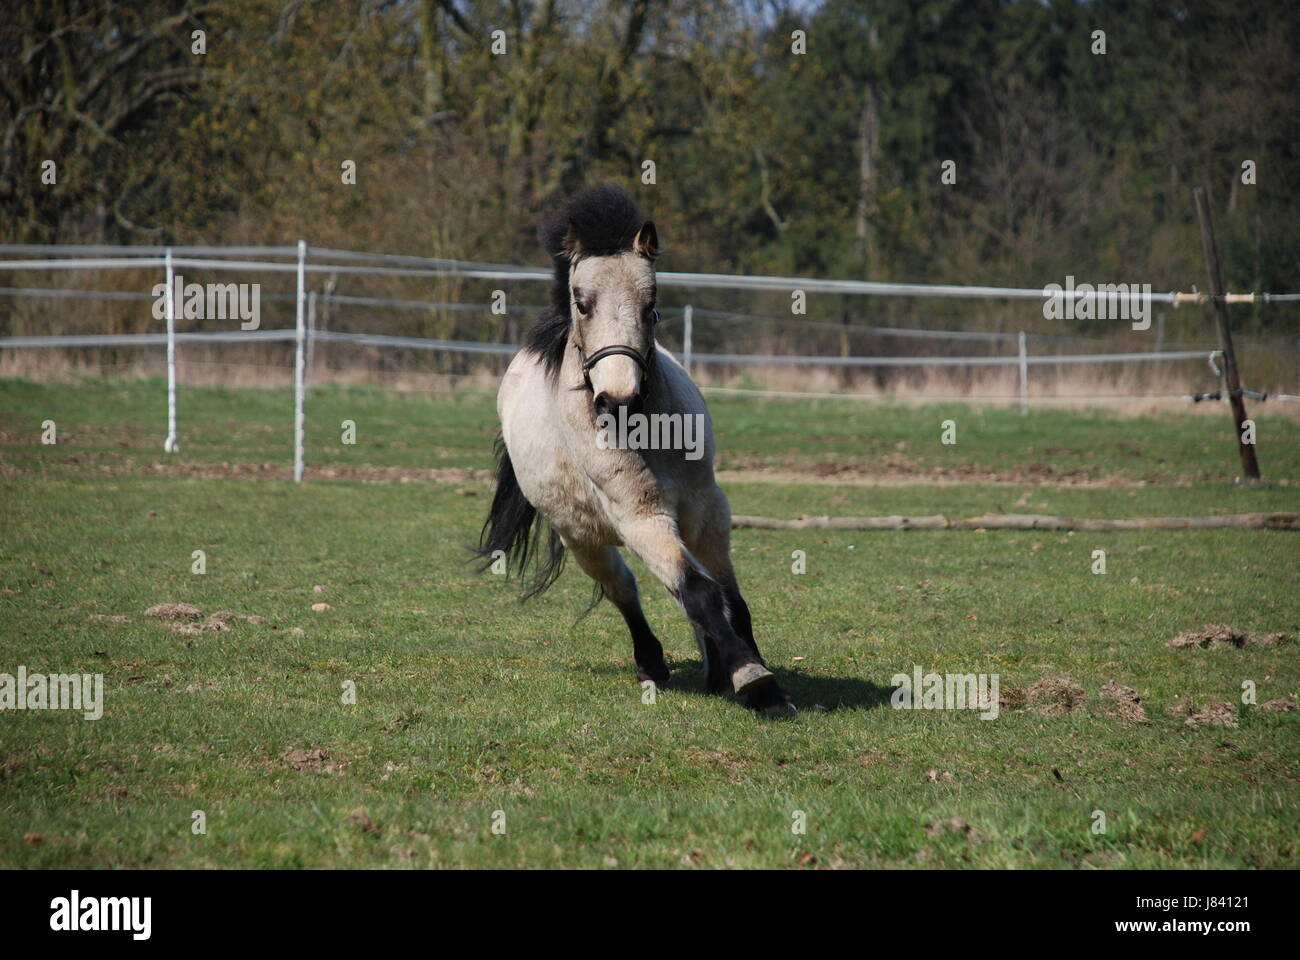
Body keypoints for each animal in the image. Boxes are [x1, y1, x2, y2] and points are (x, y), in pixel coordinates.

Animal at [478, 185, 794, 715]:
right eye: (581, 303)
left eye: (652, 303)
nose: (619, 401)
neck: (650, 436)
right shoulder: (642, 518)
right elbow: (699, 592)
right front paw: (755, 681)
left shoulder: (708, 512)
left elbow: (726, 595)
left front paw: (746, 672)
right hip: (583, 539)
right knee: (622, 588)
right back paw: (652, 665)